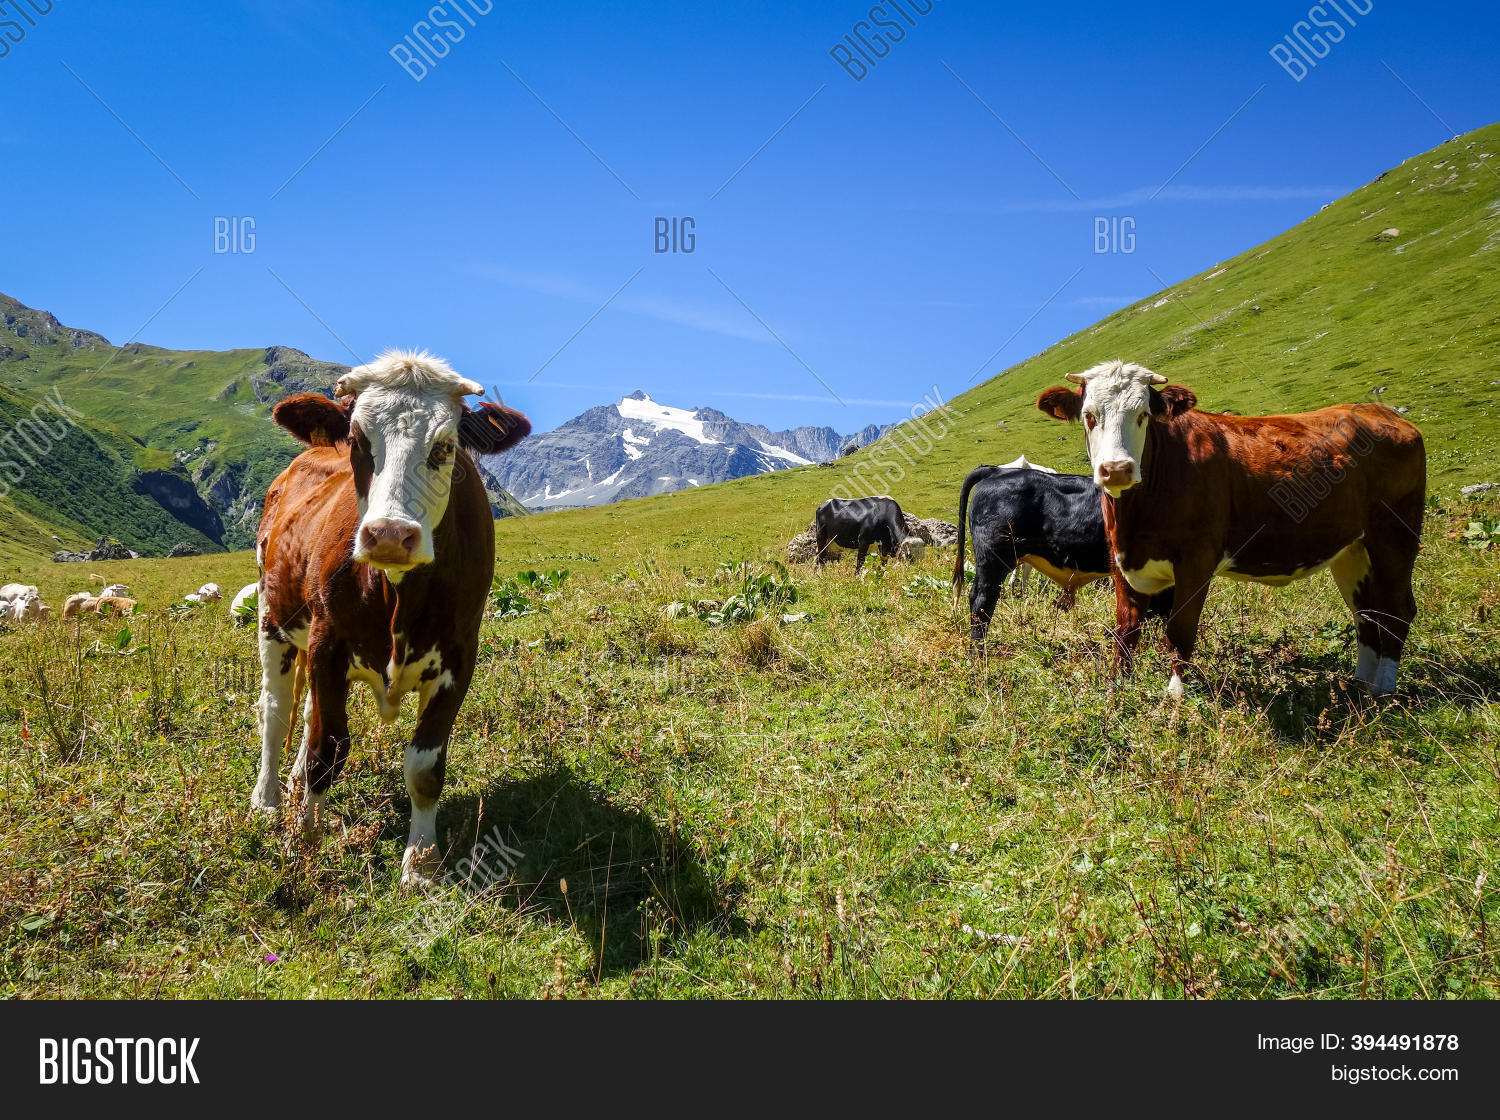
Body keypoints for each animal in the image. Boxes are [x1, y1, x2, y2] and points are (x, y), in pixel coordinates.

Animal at [250, 349, 530, 886]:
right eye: (359, 441)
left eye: (445, 446)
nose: (389, 535)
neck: (399, 591)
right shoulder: (328, 643)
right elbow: (328, 751)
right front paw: (304, 841)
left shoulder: (460, 656)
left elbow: (424, 766)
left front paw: (421, 864)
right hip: (273, 618)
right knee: (276, 712)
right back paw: (269, 797)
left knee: (308, 711)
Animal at [1038, 359, 1425, 698]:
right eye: (1089, 416)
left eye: (1143, 414)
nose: (1117, 469)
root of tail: (1383, 414)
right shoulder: (1120, 556)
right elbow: (1126, 629)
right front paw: (1116, 690)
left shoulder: (1197, 557)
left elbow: (1179, 630)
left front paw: (1175, 698)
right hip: (1352, 549)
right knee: (1367, 614)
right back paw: (1360, 687)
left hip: (1395, 534)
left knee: (1397, 609)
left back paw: (1383, 691)